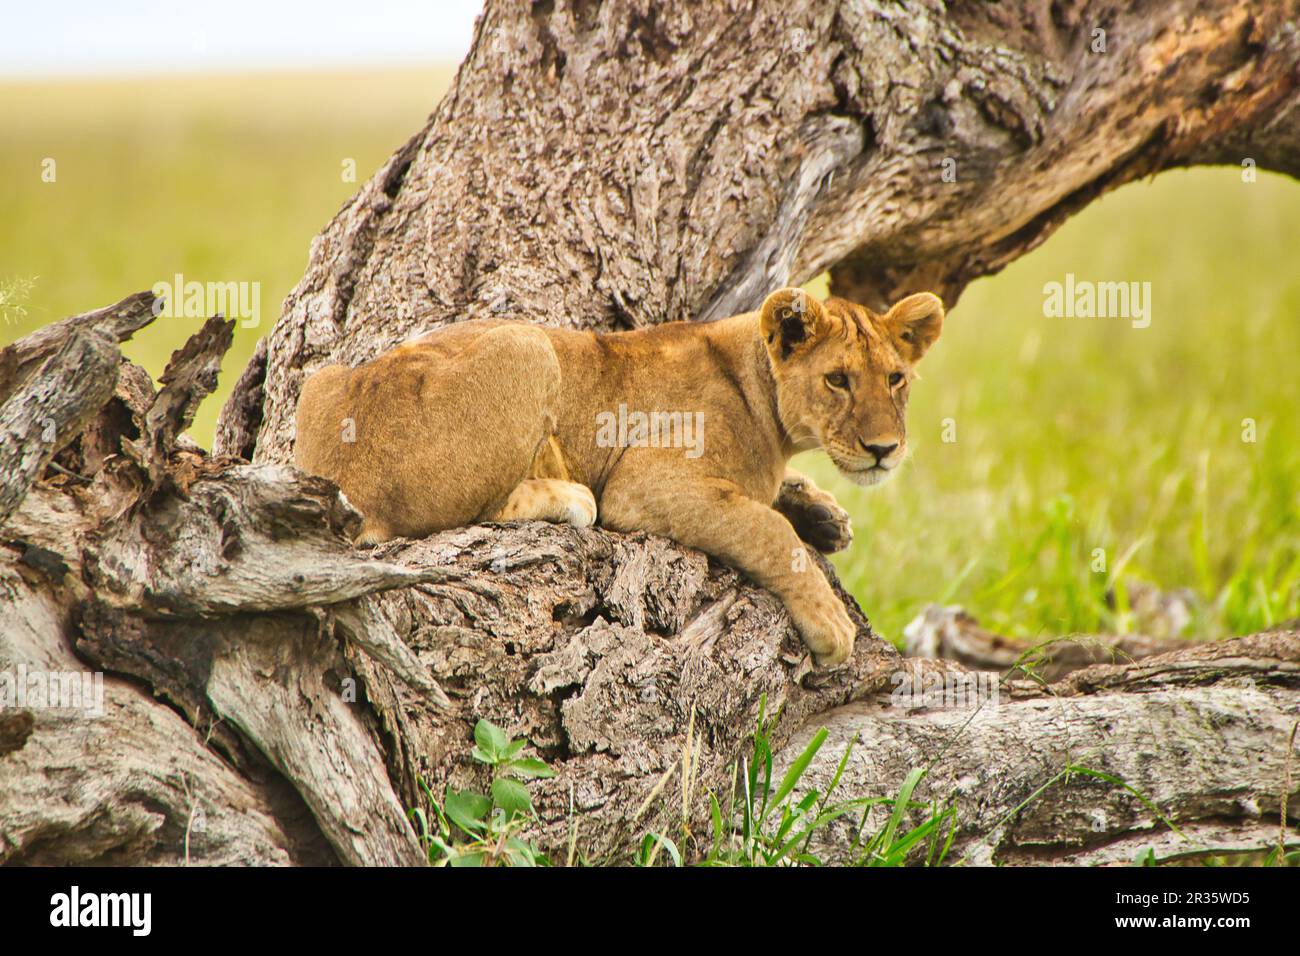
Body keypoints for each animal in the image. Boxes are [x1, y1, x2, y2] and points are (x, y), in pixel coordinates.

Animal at [294, 287, 944, 665]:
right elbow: (761, 525)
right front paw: (829, 621)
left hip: (320, 380)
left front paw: (823, 515)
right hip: (528, 344)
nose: (885, 450)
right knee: (476, 508)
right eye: (837, 380)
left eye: (895, 379)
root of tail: (341, 476)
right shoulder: (646, 481)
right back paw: (569, 496)